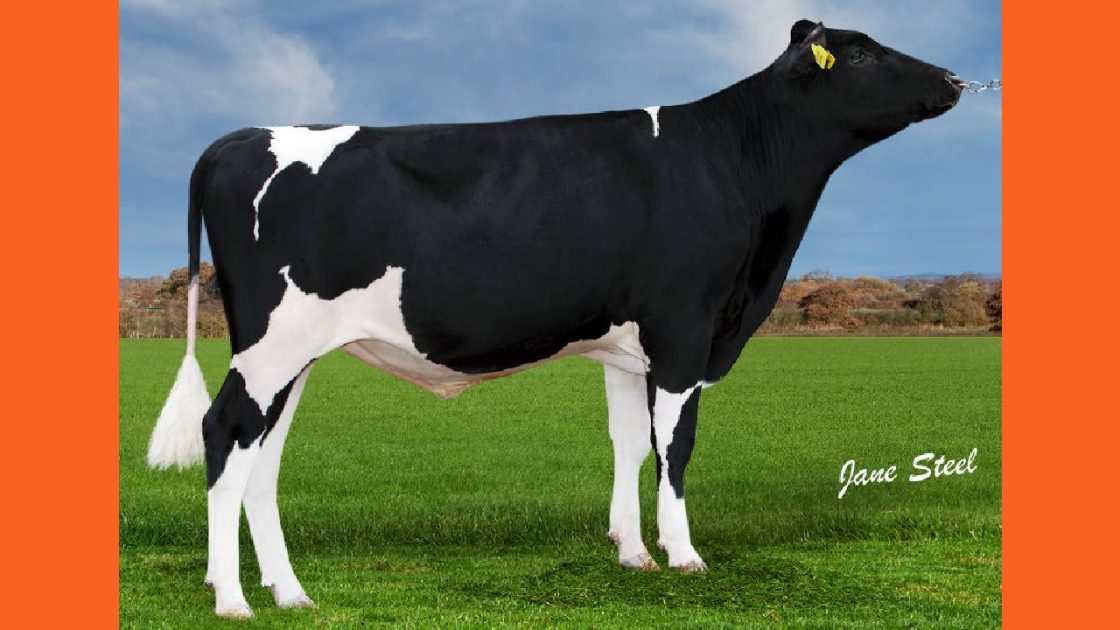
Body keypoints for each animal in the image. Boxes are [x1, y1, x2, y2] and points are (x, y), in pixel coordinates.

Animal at [145, 20, 966, 617]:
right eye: (859, 52)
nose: (956, 80)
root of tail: (239, 137)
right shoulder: (685, 329)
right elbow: (675, 447)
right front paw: (684, 556)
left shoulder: (627, 347)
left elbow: (629, 443)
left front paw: (633, 552)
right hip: (272, 345)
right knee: (224, 432)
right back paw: (232, 599)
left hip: (293, 356)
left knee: (262, 455)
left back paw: (289, 593)